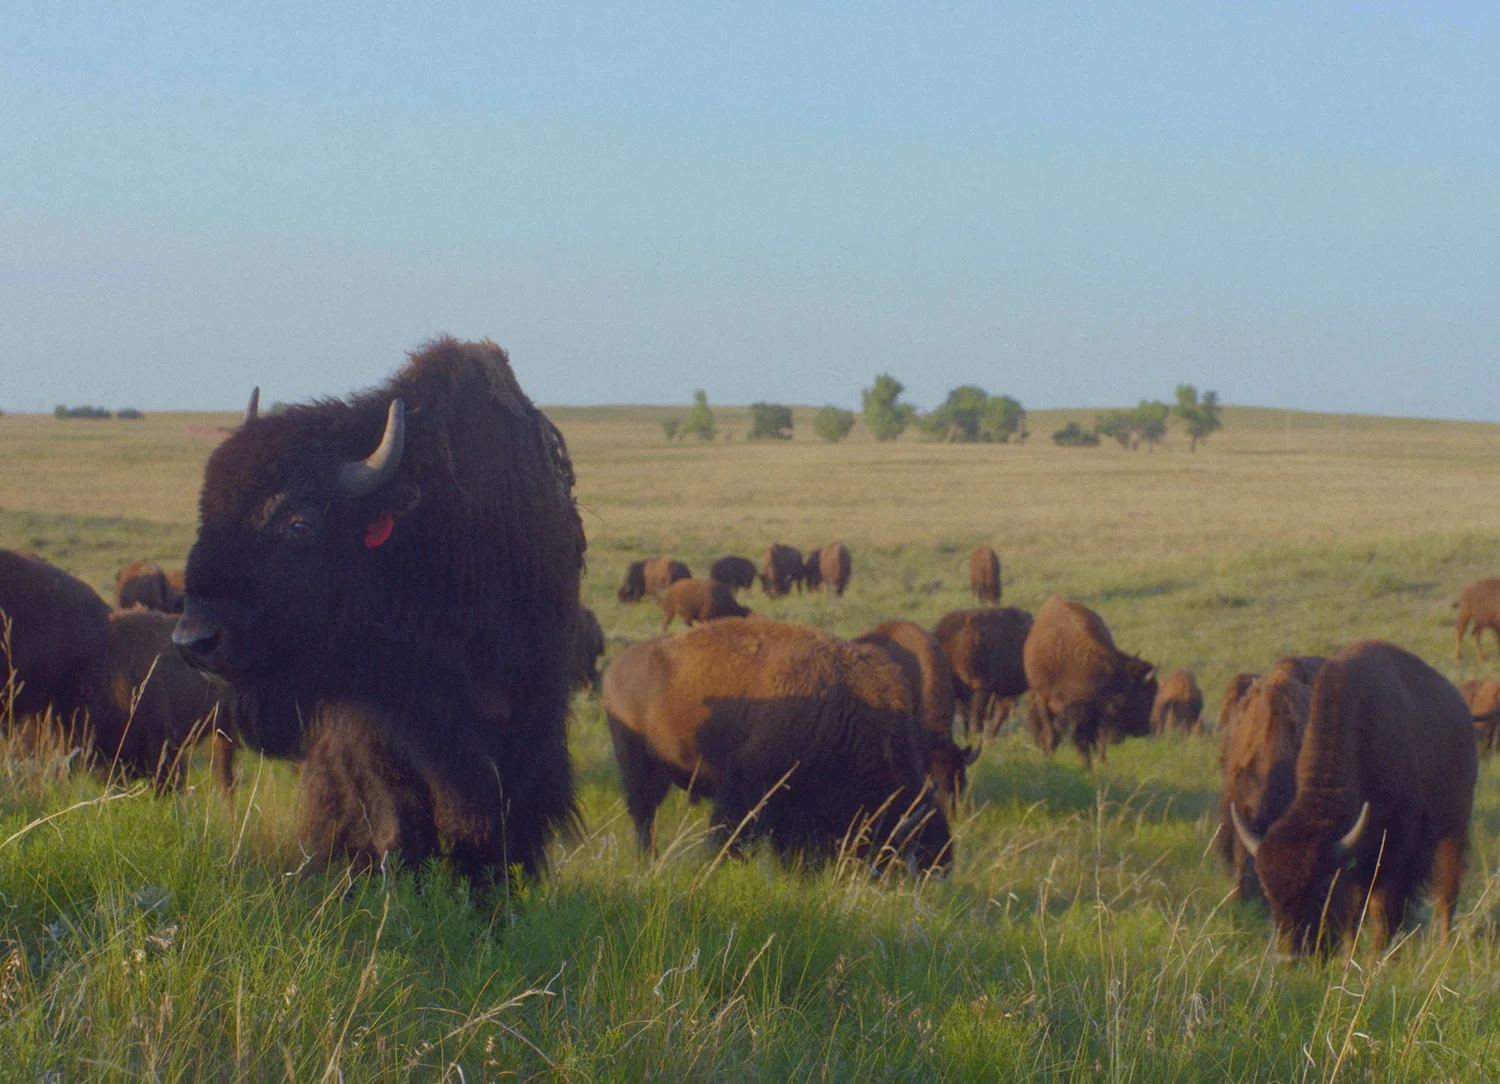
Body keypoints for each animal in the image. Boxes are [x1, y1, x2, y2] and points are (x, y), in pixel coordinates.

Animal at [173, 337, 585, 884]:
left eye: (300, 523)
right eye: (206, 512)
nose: (194, 640)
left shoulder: (526, 726)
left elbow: (495, 835)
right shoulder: (372, 729)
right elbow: (396, 823)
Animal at [602, 618, 951, 871]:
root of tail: (617, 665)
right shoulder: (745, 786)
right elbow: (729, 834)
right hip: (638, 764)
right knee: (643, 813)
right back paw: (647, 861)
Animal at [1022, 596, 1156, 766]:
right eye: (1142, 696)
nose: (1145, 730)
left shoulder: (1091, 711)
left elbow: (1087, 741)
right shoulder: (1044, 699)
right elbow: (1051, 735)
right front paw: (1048, 759)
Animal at [1230, 641, 1477, 954]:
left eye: (1322, 886)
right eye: (1268, 890)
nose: (1288, 955)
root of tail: (1461, 709)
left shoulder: (1393, 847)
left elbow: (1381, 908)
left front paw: (1375, 960)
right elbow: (1354, 917)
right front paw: (1350, 957)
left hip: (1454, 828)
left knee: (1446, 895)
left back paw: (1444, 948)